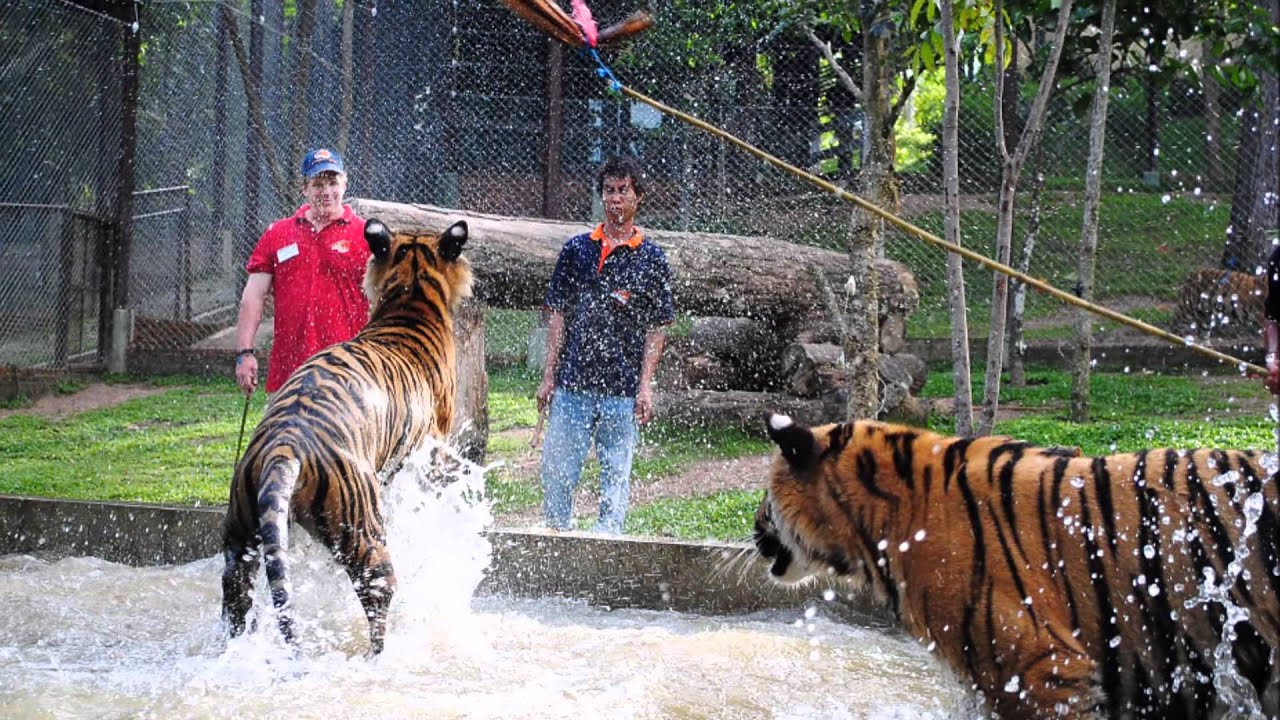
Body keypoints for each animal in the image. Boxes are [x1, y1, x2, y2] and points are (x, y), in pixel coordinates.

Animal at [221, 218, 472, 655]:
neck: (411, 295)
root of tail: (285, 445)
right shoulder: (432, 449)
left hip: (241, 531)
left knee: (235, 593)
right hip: (363, 531)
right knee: (378, 593)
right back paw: (382, 654)